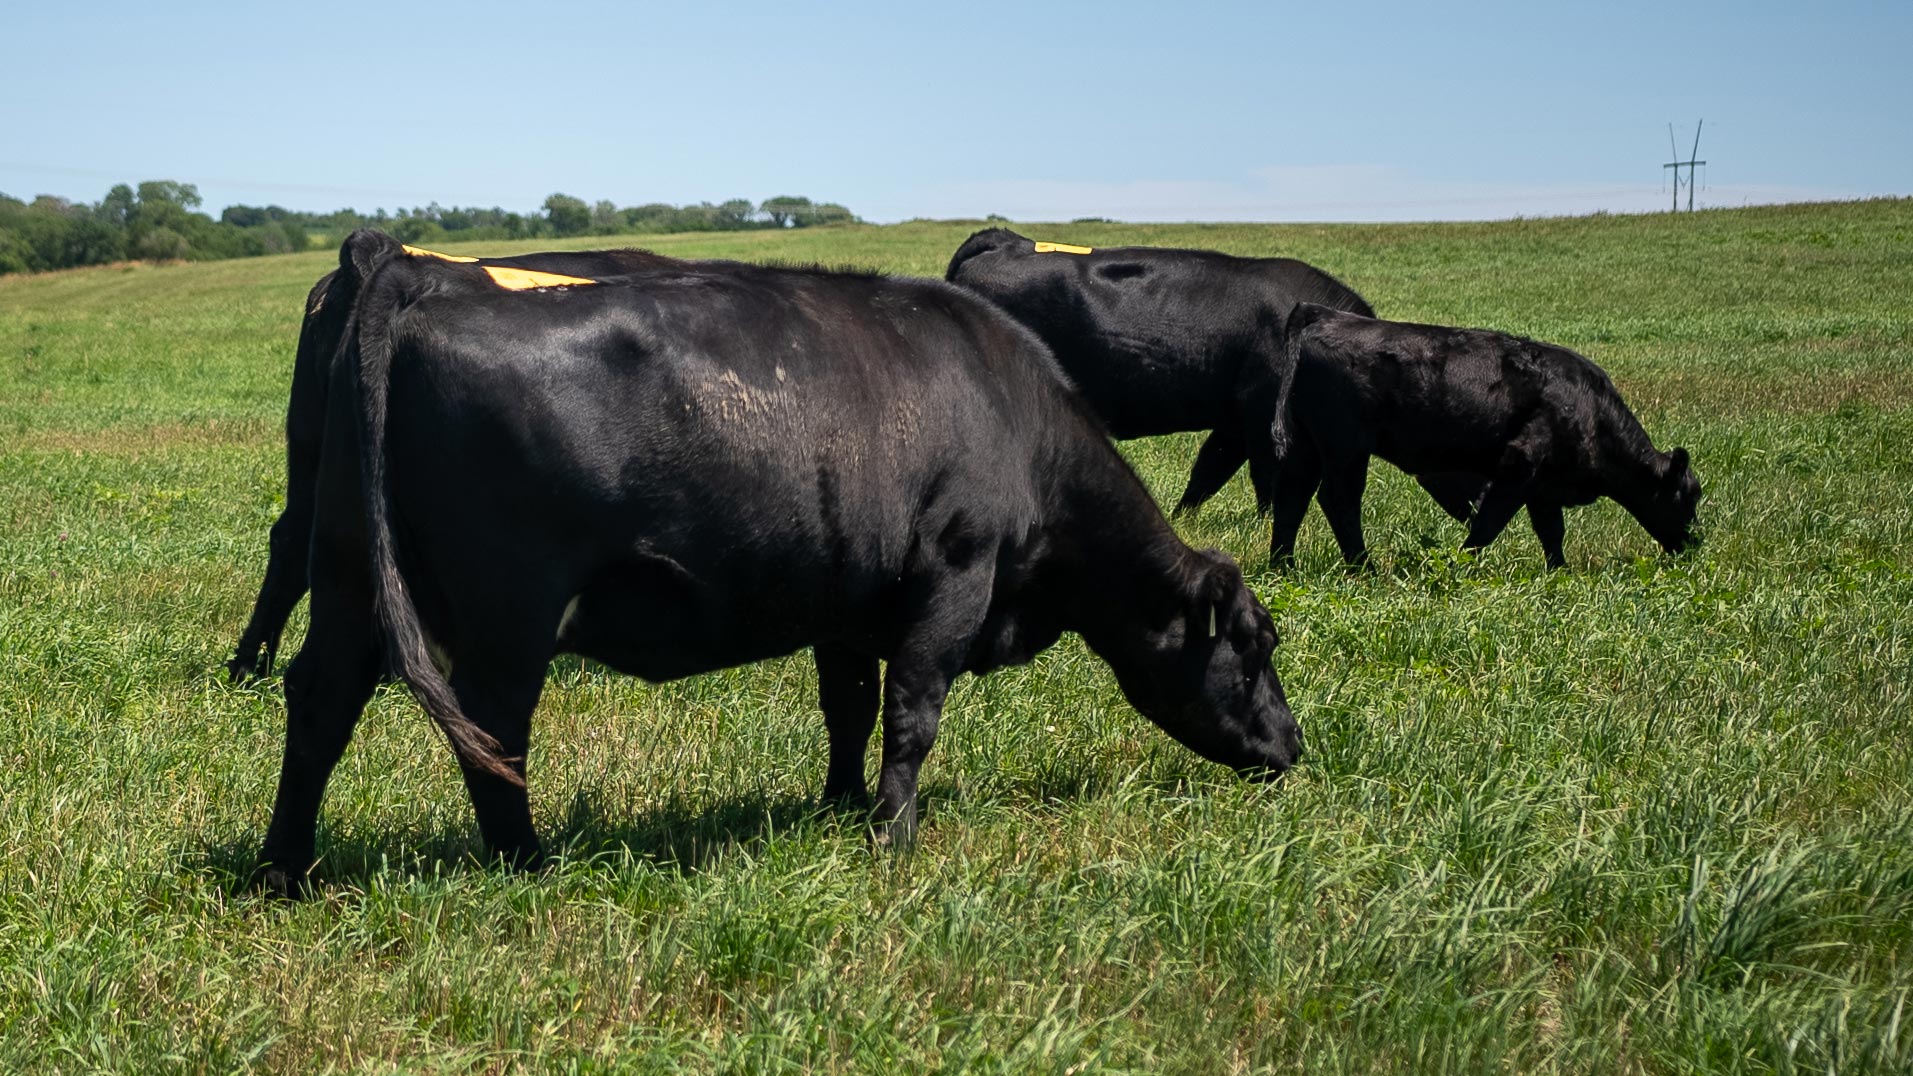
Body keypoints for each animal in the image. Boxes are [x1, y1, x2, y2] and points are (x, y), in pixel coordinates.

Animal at [943, 227, 1379, 548]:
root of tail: (1009, 241)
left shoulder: (1235, 423)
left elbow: (1208, 471)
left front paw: (1180, 519)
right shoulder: (1262, 415)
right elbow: (1267, 480)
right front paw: (1261, 524)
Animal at [1269, 302, 1701, 569]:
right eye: (1688, 496)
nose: (1695, 543)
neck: (1591, 408)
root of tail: (1322, 314)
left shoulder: (1544, 485)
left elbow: (1552, 532)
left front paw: (1560, 571)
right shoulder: (1519, 465)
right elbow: (1488, 524)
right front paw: (1460, 565)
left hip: (1305, 447)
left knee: (1292, 498)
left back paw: (1283, 566)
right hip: (1346, 447)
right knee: (1338, 500)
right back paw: (1364, 567)